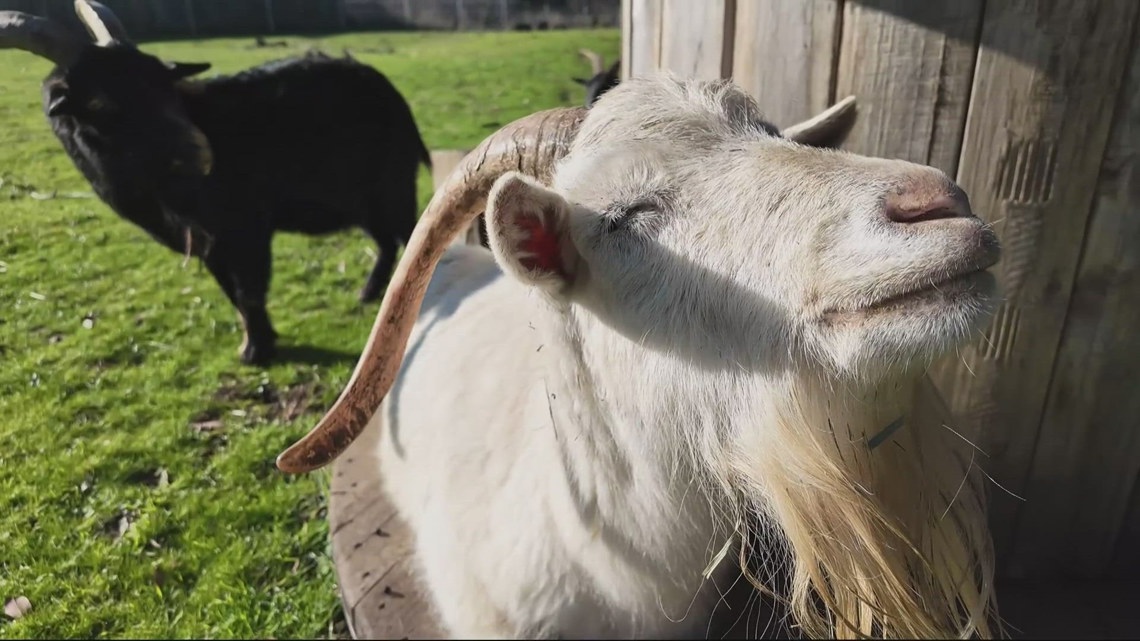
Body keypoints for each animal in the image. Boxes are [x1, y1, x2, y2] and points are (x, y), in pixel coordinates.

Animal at [0, 1, 432, 365]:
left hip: (391, 183)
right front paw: (256, 343)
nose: (199, 152)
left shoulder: (247, 228)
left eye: (163, 82)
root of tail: (382, 85)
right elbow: (231, 292)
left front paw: (257, 351)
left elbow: (249, 291)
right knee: (385, 240)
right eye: (97, 102)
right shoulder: (208, 241)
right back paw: (369, 293)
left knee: (406, 234)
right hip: (363, 199)